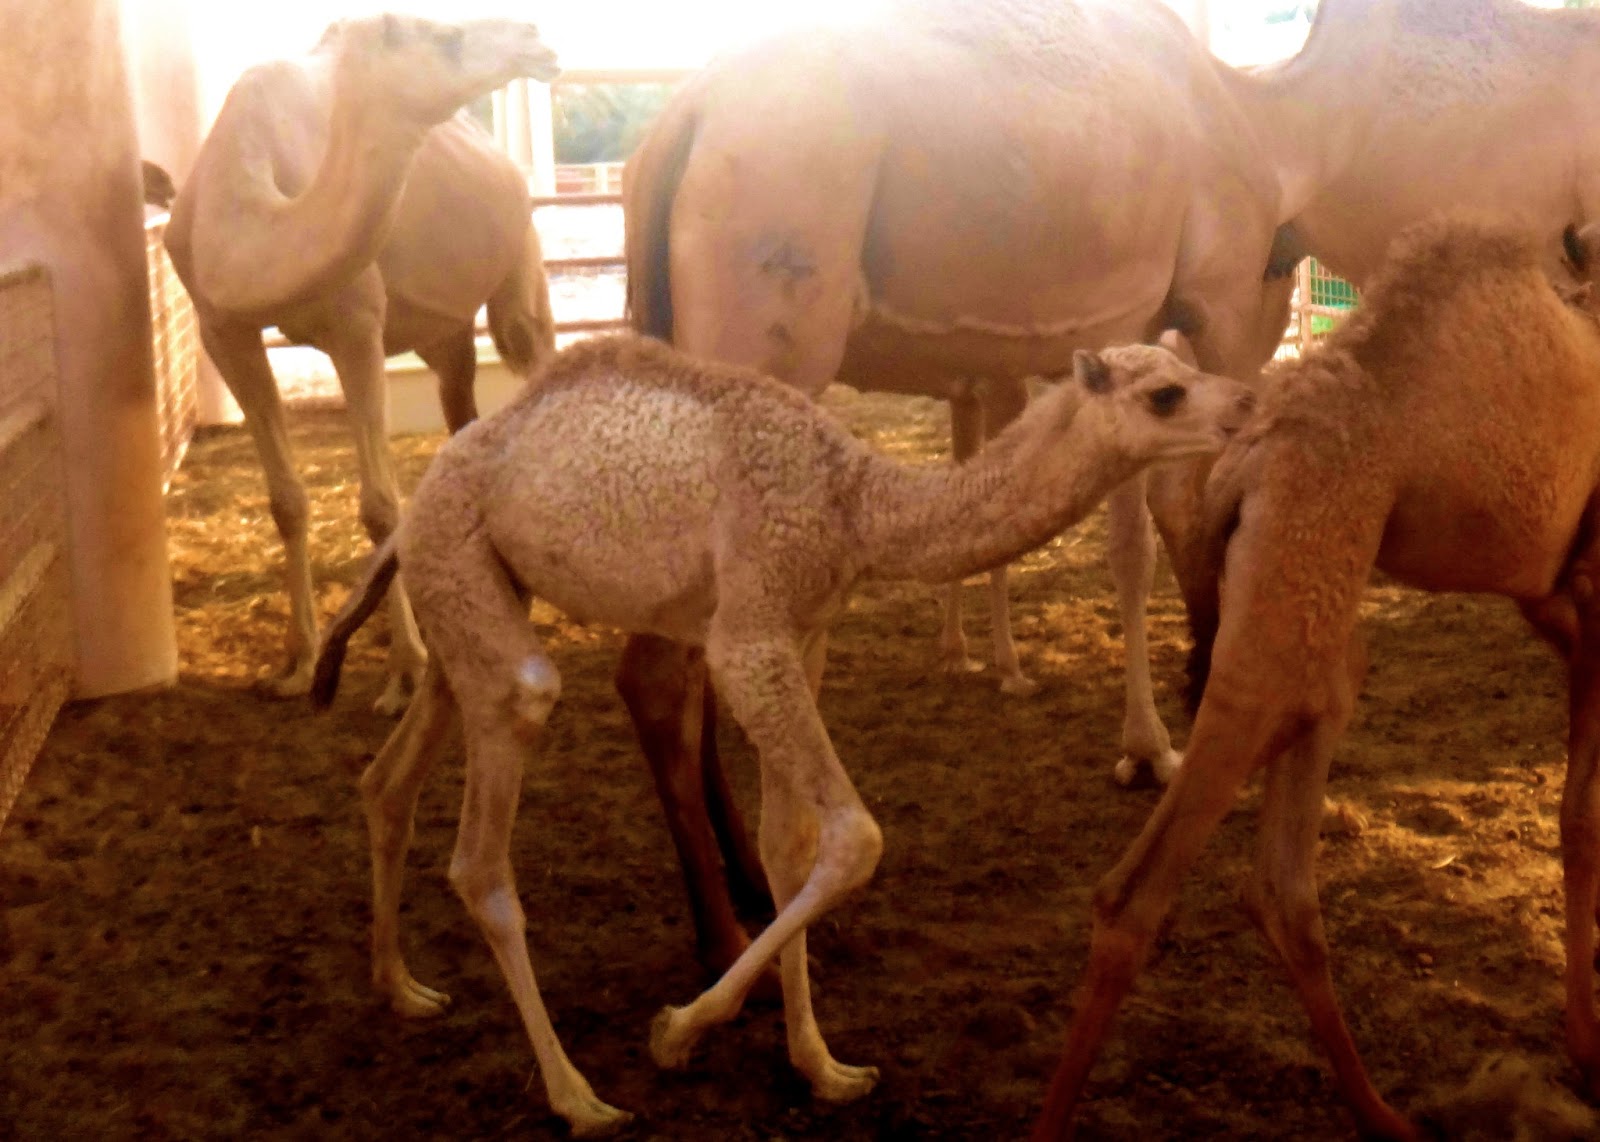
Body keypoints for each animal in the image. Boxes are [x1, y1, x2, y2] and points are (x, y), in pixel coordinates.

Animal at [163, 15, 559, 712]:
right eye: (447, 39)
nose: (534, 37)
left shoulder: (355, 325)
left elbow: (379, 507)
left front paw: (404, 673)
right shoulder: (223, 329)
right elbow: (286, 501)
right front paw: (297, 663)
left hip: (520, 270)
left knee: (534, 348)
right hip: (444, 331)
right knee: (461, 412)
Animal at [308, 331, 1255, 1135]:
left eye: (1189, 365)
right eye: (1167, 393)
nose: (1246, 401)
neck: (856, 505)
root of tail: (420, 501)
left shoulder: (805, 633)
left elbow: (789, 844)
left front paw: (820, 1065)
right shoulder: (749, 634)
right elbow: (856, 837)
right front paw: (680, 1030)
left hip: (464, 594)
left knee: (387, 782)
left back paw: (402, 988)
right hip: (469, 583)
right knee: (487, 833)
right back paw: (578, 1097)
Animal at [620, 0, 1298, 979]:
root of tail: (682, 121)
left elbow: (1137, 525)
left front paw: (1148, 727)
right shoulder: (1213, 297)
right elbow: (1175, 513)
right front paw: (1180, 720)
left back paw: (748, 882)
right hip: (765, 298)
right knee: (659, 671)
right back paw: (723, 937)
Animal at [1030, 215, 1600, 1140]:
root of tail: (1240, 466)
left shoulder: (1559, 603)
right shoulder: (1593, 594)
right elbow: (1583, 814)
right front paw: (1586, 1046)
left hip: (1306, 622)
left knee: (1281, 884)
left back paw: (1386, 1114)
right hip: (1297, 598)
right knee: (1137, 894)